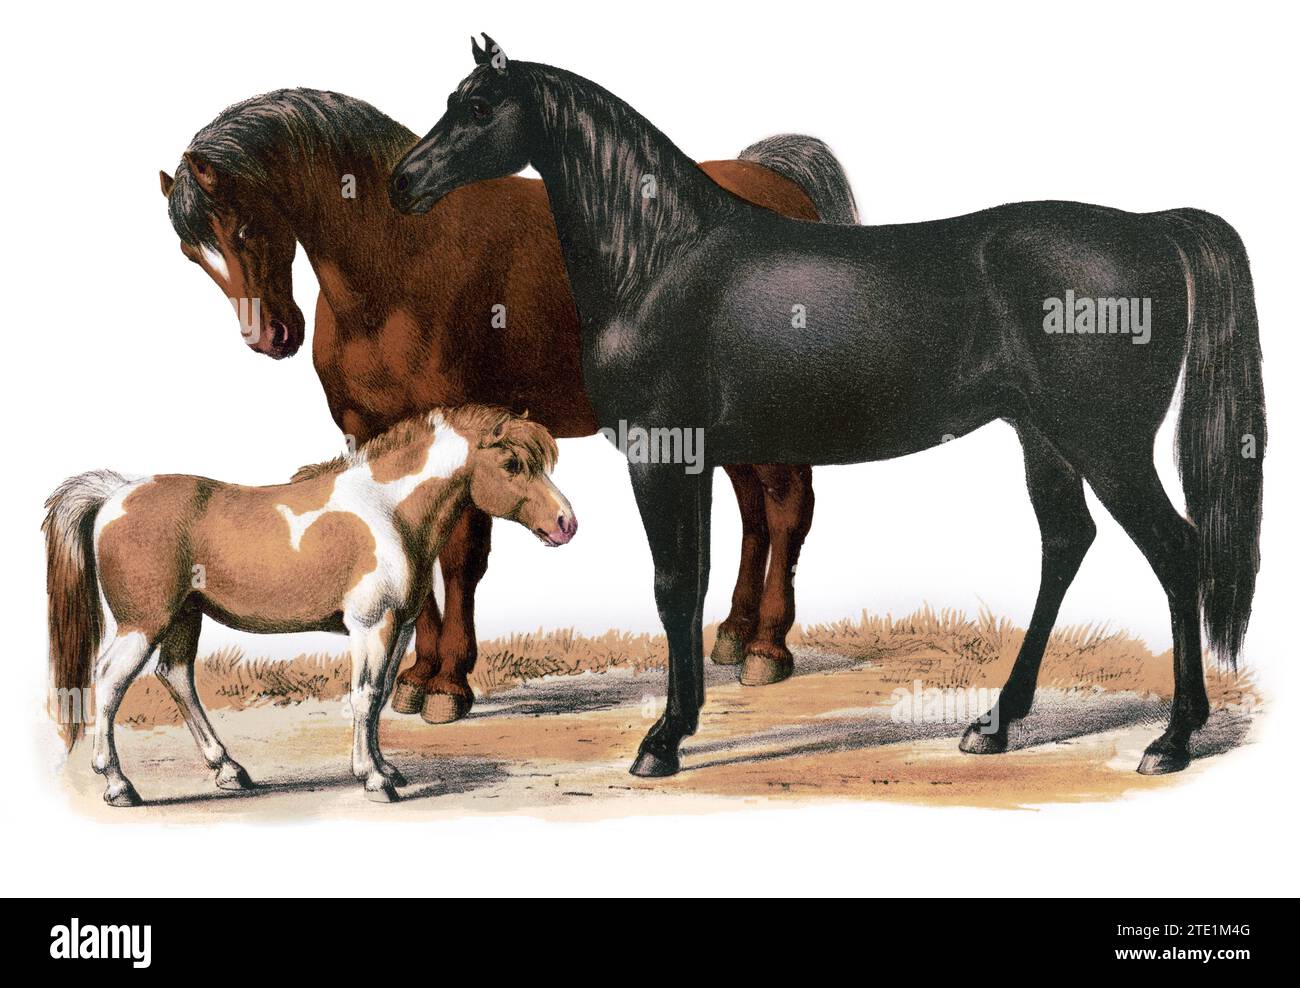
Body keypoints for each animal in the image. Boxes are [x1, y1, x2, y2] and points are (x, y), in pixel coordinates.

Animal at [44, 405, 575, 805]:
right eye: (512, 465)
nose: (566, 523)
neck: (388, 509)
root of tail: (117, 493)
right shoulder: (372, 625)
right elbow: (364, 697)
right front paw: (374, 780)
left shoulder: (398, 627)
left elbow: (380, 695)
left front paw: (387, 769)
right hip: (142, 623)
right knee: (109, 682)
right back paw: (119, 786)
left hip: (183, 618)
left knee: (175, 677)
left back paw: (229, 770)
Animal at [159, 90, 858, 724]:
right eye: (196, 254)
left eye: (244, 227)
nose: (270, 335)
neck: (404, 255)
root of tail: (778, 183)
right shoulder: (373, 434)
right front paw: (415, 678)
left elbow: (459, 558)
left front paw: (448, 685)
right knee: (755, 511)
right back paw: (736, 634)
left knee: (787, 509)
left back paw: (767, 648)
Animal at [389, 36, 1266, 779]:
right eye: (452, 97)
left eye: (479, 106)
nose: (403, 181)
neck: (661, 257)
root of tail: (1153, 229)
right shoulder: (697, 456)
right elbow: (696, 581)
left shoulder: (661, 454)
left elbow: (673, 585)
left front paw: (661, 743)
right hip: (1043, 438)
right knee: (1067, 542)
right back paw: (995, 724)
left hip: (1105, 445)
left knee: (1175, 550)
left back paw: (1172, 739)